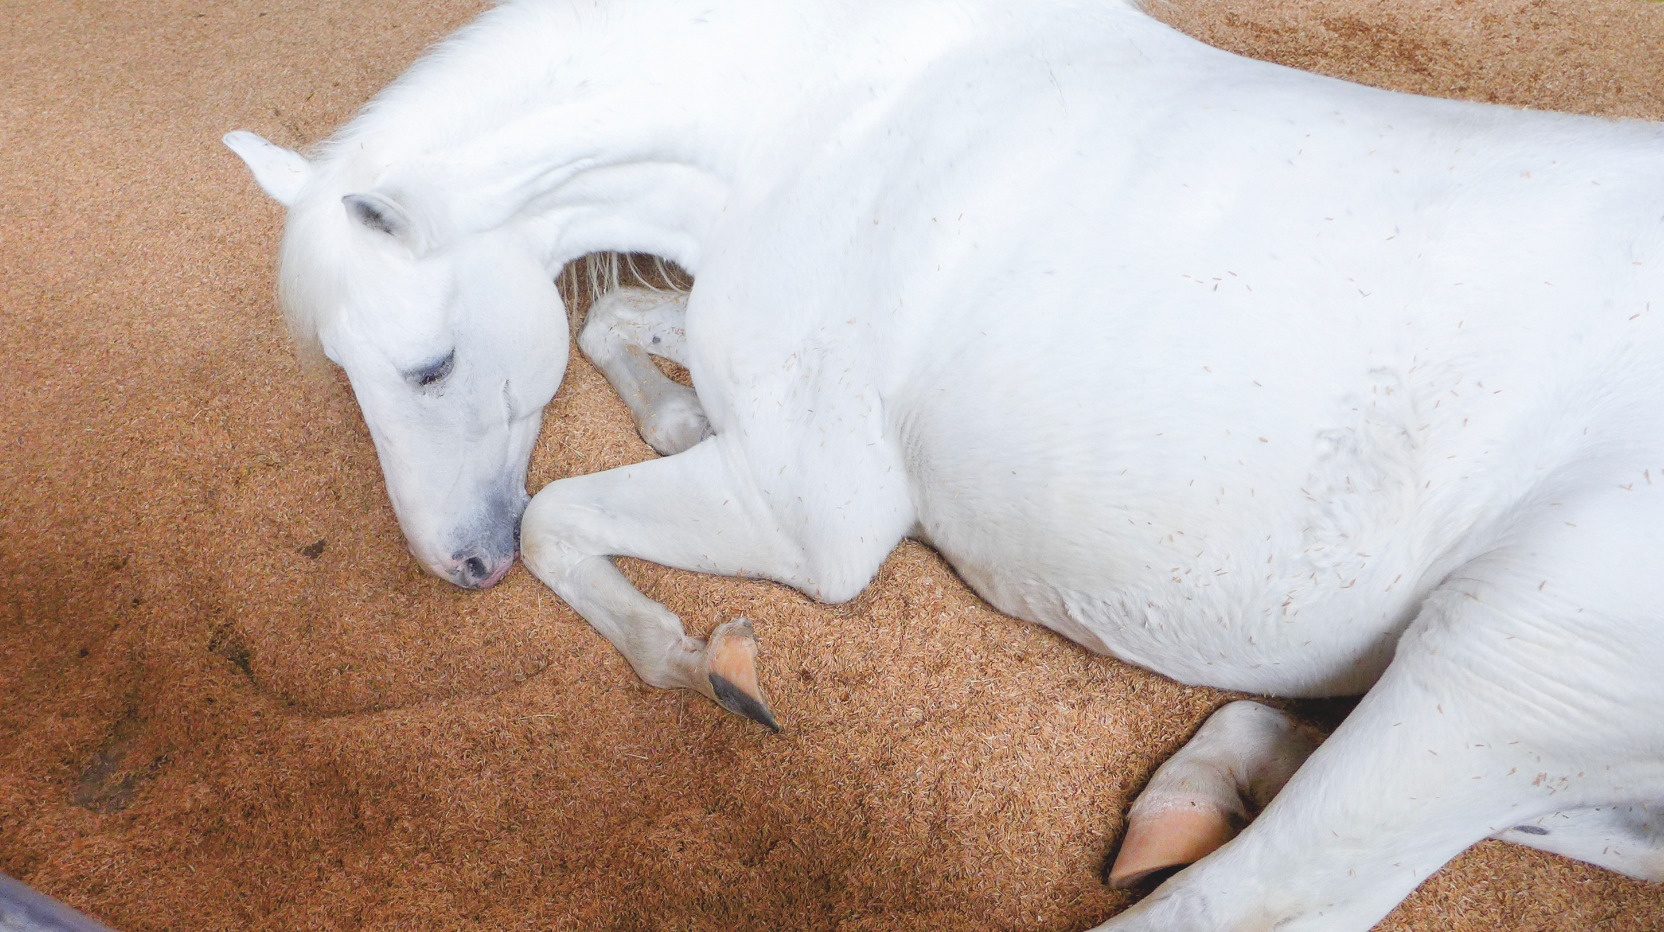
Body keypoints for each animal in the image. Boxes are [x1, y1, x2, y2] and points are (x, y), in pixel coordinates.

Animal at [224, 0, 1664, 928]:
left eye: (424, 370)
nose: (457, 566)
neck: (825, 124)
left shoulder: (813, 517)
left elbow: (567, 517)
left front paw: (690, 660)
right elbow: (615, 323)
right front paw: (672, 420)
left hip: (1480, 692)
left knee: (1264, 894)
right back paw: (1200, 784)